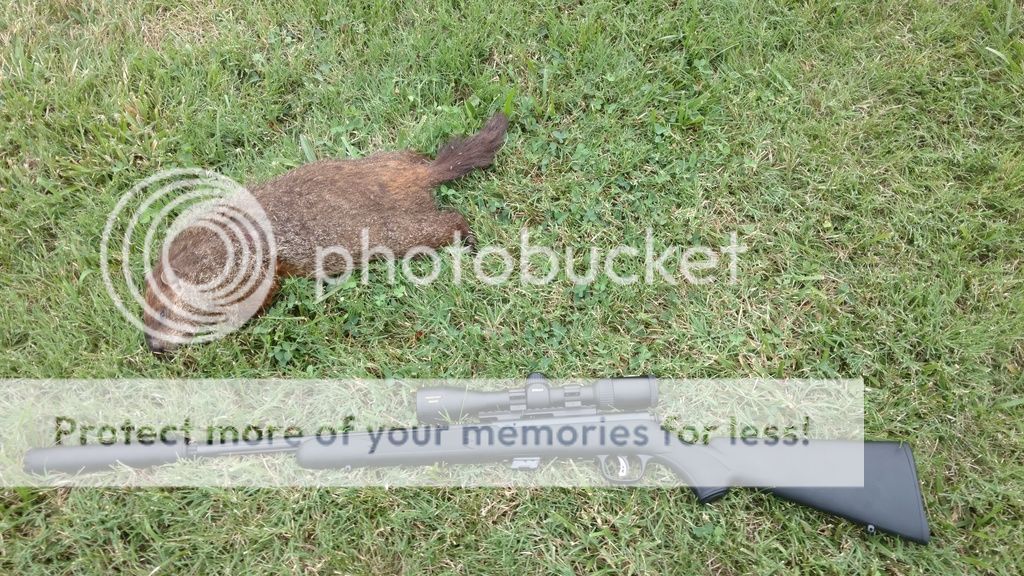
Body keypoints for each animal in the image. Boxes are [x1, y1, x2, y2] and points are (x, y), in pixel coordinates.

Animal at [143, 113, 509, 354]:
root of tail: (421, 176)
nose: (151, 347)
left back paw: (467, 237)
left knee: (445, 222)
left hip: (398, 232)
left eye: (161, 313)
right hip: (391, 159)